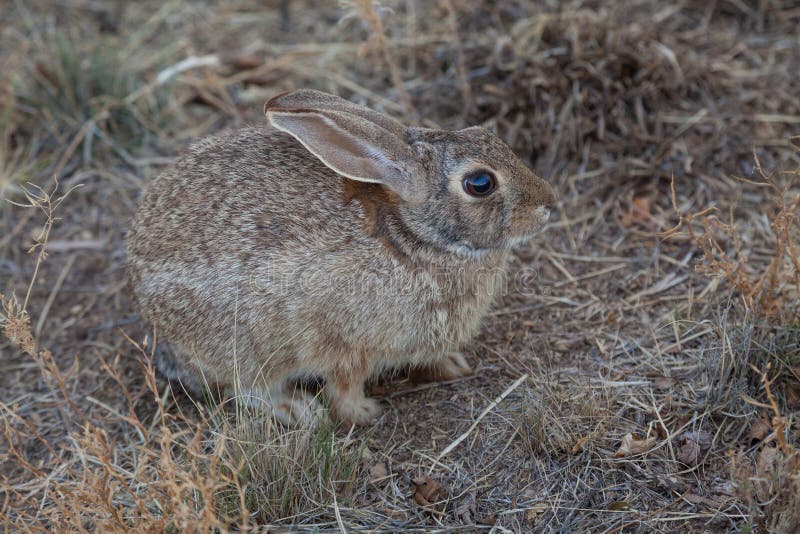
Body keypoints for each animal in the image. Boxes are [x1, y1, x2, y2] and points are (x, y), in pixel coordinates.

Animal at [126, 89, 556, 426]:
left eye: (485, 133)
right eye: (480, 183)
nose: (548, 204)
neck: (413, 236)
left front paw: (453, 365)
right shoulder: (343, 341)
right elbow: (344, 384)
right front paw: (363, 413)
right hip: (245, 342)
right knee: (245, 388)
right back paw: (296, 408)